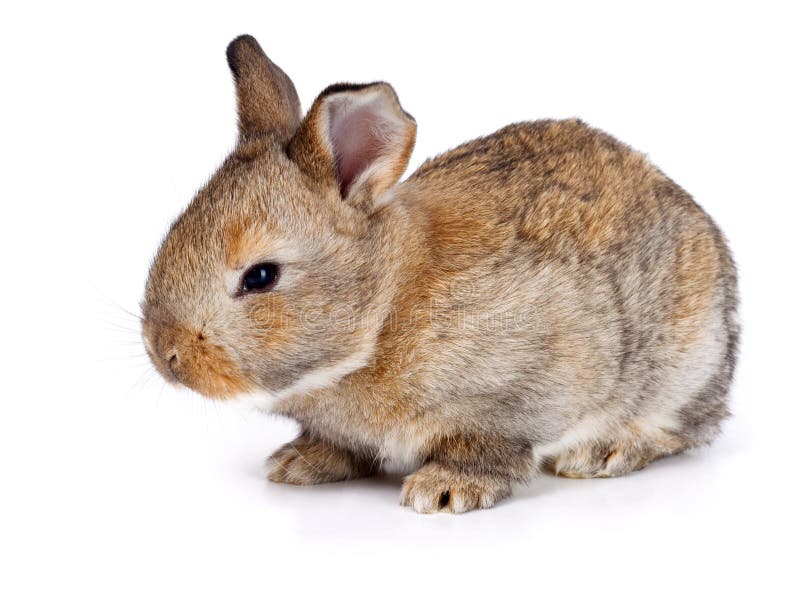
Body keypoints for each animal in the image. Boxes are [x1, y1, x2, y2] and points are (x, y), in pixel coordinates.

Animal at [141, 34, 739, 513]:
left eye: (261, 276)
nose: (166, 355)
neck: (385, 309)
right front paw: (299, 463)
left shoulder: (515, 391)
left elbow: (489, 447)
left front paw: (446, 490)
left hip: (683, 366)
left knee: (679, 428)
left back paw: (603, 452)